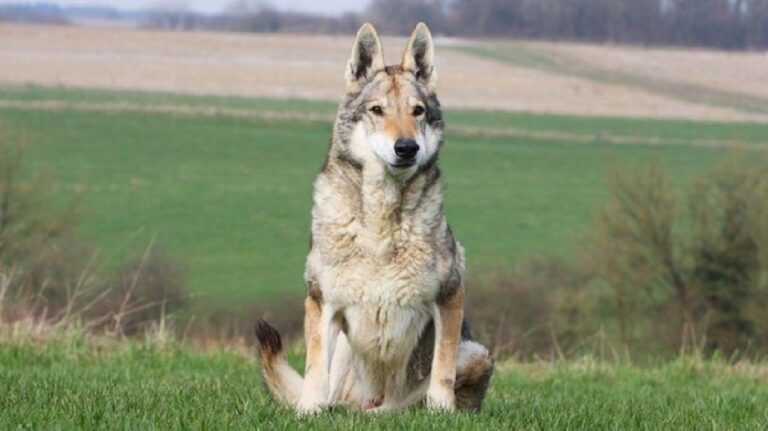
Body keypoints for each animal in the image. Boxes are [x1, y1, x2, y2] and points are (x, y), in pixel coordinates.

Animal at [255, 22, 494, 414]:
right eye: (377, 110)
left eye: (417, 111)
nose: (407, 147)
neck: (381, 223)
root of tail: (366, 403)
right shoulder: (322, 301)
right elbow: (314, 367)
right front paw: (308, 411)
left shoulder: (450, 295)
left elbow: (441, 371)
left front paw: (442, 413)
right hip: (344, 351)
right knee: (337, 392)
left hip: (477, 354)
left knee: (401, 405)